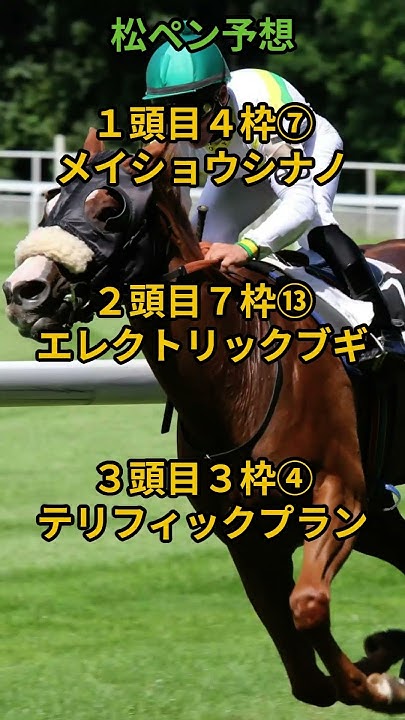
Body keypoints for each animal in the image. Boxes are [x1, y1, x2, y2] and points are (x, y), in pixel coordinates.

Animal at [3, 128, 405, 713]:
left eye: (111, 209)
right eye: (51, 201)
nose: (24, 290)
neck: (242, 381)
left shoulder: (343, 495)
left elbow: (307, 604)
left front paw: (380, 683)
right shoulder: (251, 539)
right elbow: (307, 677)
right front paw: (382, 663)